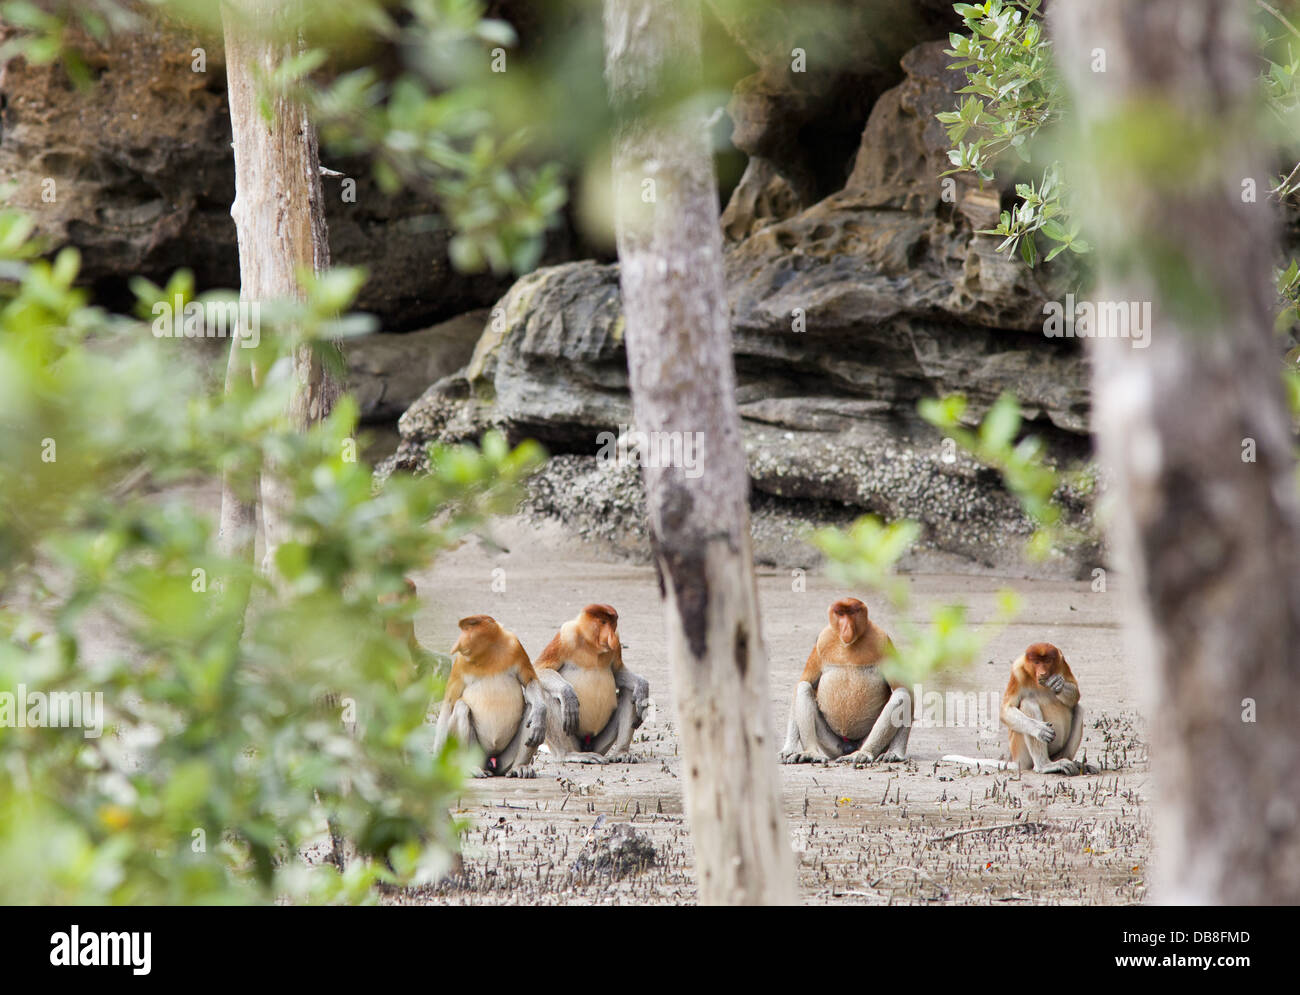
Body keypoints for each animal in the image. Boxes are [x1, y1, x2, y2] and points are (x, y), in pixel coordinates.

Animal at [432, 615, 548, 778]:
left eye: (468, 627)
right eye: (463, 628)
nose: (458, 641)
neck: (488, 652)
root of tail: (491, 761)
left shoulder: (515, 646)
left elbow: (530, 681)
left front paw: (539, 717)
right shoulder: (459, 664)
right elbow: (449, 704)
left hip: (505, 759)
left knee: (530, 707)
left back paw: (519, 767)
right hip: (479, 753)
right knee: (461, 707)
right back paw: (472, 768)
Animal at [533, 604, 649, 763]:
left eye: (612, 623)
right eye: (603, 622)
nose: (611, 637)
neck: (591, 645)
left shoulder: (616, 643)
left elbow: (617, 672)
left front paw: (642, 685)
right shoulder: (566, 635)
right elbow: (540, 670)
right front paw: (568, 695)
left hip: (599, 745)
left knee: (630, 692)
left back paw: (621, 753)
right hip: (572, 737)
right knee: (546, 694)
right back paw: (569, 754)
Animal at [779, 597, 912, 765]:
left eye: (852, 612)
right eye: (841, 613)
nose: (846, 628)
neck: (850, 644)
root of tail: (849, 746)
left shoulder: (883, 641)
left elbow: (904, 689)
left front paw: (895, 753)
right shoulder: (822, 641)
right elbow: (802, 683)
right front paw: (788, 750)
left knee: (901, 695)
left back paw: (863, 753)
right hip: (832, 746)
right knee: (804, 687)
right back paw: (811, 753)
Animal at [1001, 642, 1095, 775]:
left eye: (1047, 661)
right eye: (1036, 662)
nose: (1043, 673)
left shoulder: (1062, 662)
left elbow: (1075, 693)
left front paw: (1058, 684)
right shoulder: (1017, 672)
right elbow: (1006, 710)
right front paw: (1040, 730)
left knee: (1078, 708)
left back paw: (1074, 764)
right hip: (1020, 754)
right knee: (1027, 704)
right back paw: (1045, 765)